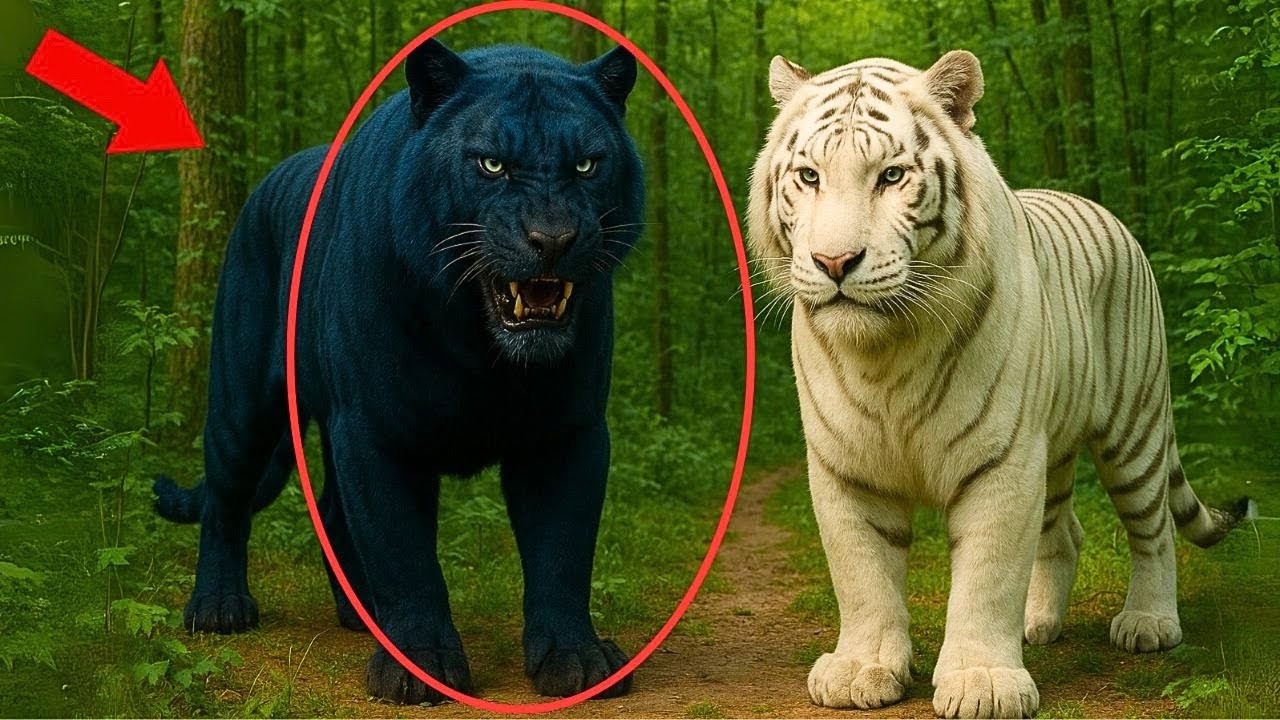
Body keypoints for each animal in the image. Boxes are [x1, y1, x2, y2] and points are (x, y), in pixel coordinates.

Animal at [747, 50, 1253, 718]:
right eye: (808, 177)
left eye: (891, 176)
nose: (834, 263)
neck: (885, 353)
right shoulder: (845, 466)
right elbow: (860, 573)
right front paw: (862, 669)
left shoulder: (1001, 458)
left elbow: (987, 576)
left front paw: (983, 682)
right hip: (1054, 445)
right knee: (1065, 533)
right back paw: (1038, 625)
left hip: (1134, 430)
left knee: (1154, 528)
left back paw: (1149, 623)